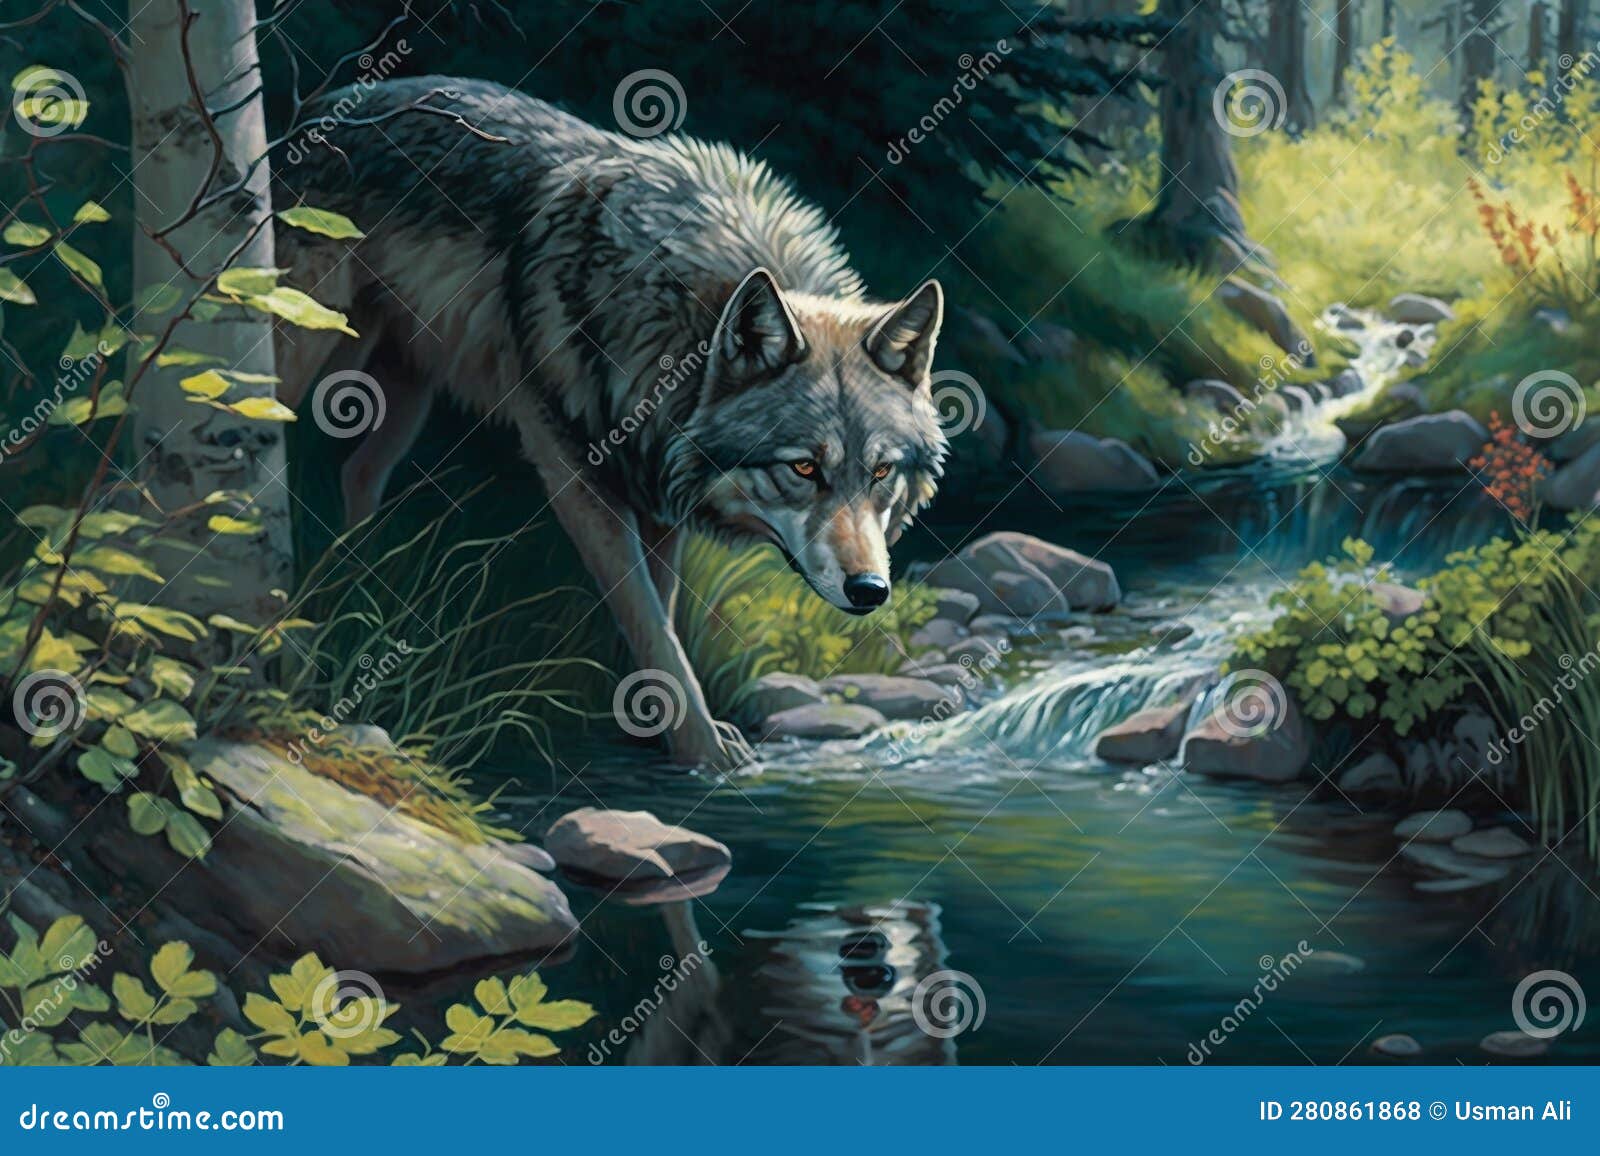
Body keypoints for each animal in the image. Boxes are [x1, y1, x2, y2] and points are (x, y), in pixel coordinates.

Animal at [274, 77, 948, 770]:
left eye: (882, 472)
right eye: (805, 468)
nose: (870, 589)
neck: (667, 327)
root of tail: (329, 102)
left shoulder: (657, 489)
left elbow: (665, 613)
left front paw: (656, 726)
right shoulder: (580, 478)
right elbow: (649, 619)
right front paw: (703, 751)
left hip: (406, 389)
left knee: (358, 471)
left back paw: (354, 589)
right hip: (311, 347)